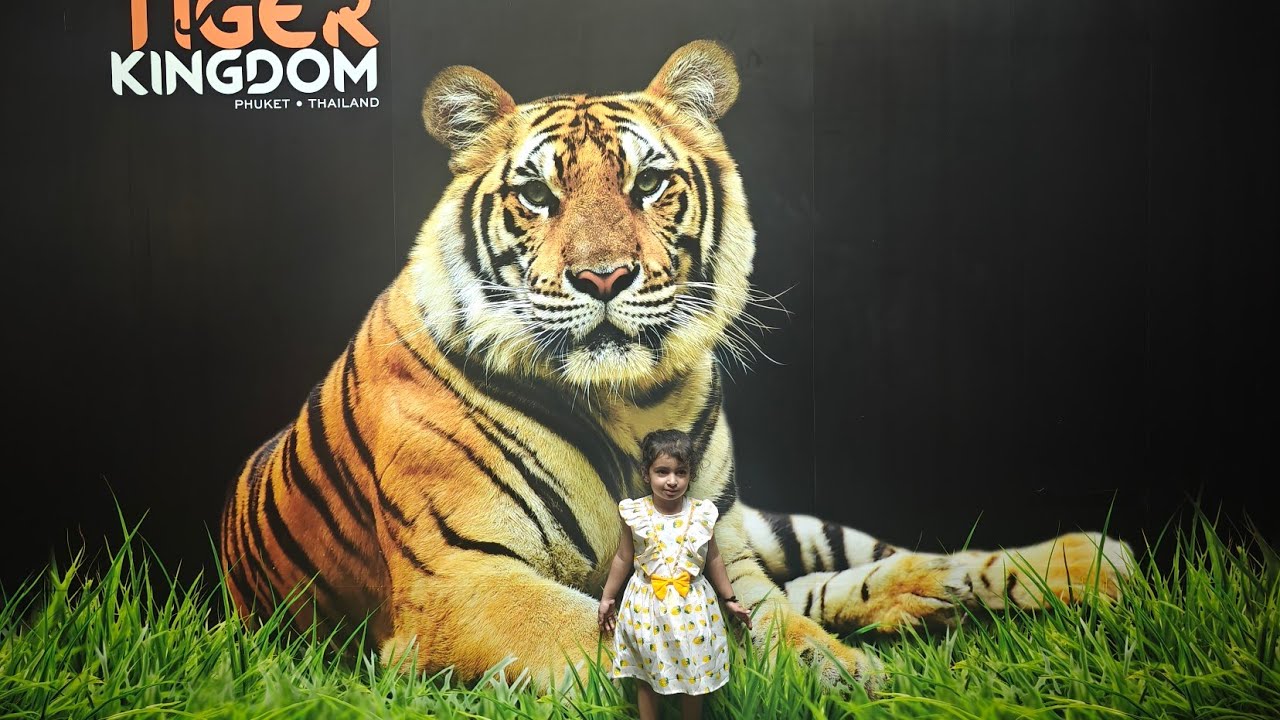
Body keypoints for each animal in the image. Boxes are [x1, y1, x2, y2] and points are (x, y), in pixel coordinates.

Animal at [219, 40, 1133, 691]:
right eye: (539, 196)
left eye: (649, 183)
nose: (603, 276)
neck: (630, 403)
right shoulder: (460, 577)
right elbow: (601, 629)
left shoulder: (716, 540)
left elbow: (771, 619)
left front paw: (830, 668)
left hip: (770, 527)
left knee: (876, 562)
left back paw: (1086, 562)